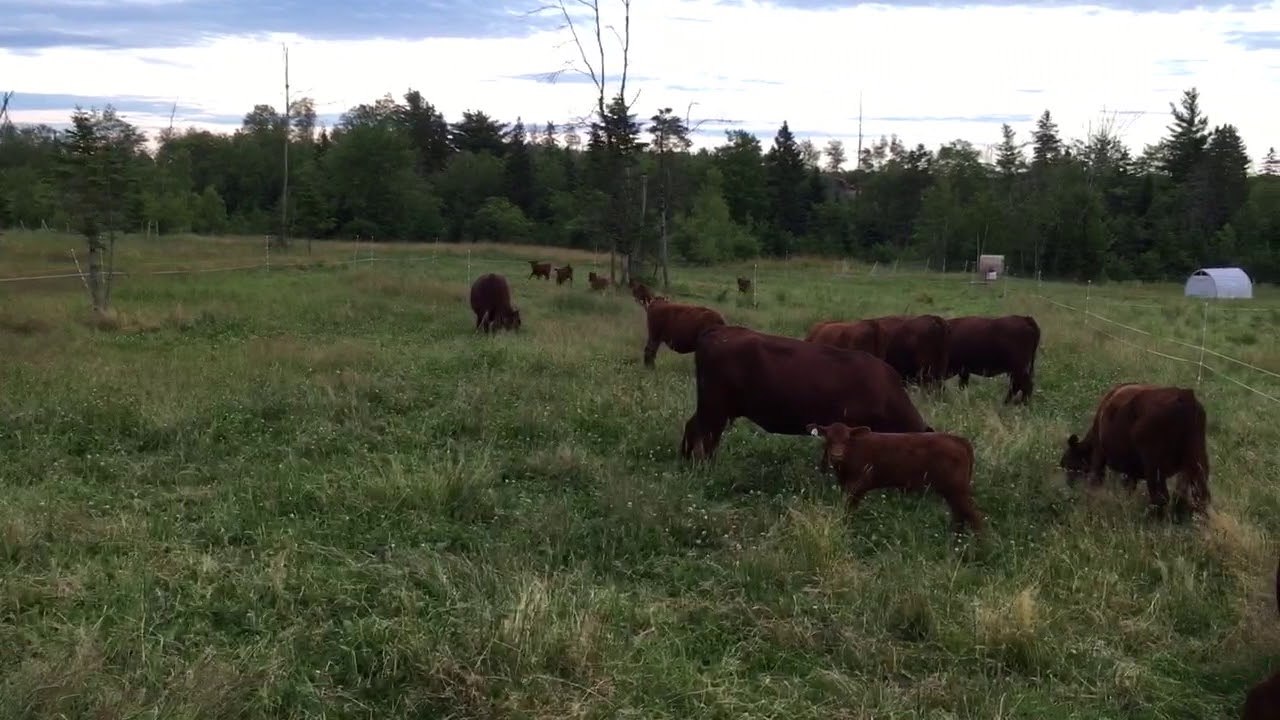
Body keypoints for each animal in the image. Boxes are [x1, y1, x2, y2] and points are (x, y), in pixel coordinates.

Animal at [807, 422, 984, 536]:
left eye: (847, 439)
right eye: (828, 438)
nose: (836, 455)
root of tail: (958, 440)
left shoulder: (857, 486)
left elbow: (848, 510)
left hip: (957, 490)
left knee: (975, 518)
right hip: (951, 492)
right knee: (959, 515)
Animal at [1058, 383, 1211, 519]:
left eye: (1069, 465)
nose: (1069, 485)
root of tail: (1184, 396)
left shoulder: (1100, 455)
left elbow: (1096, 481)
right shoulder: (1129, 470)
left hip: (1154, 467)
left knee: (1160, 497)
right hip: (1197, 462)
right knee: (1199, 496)